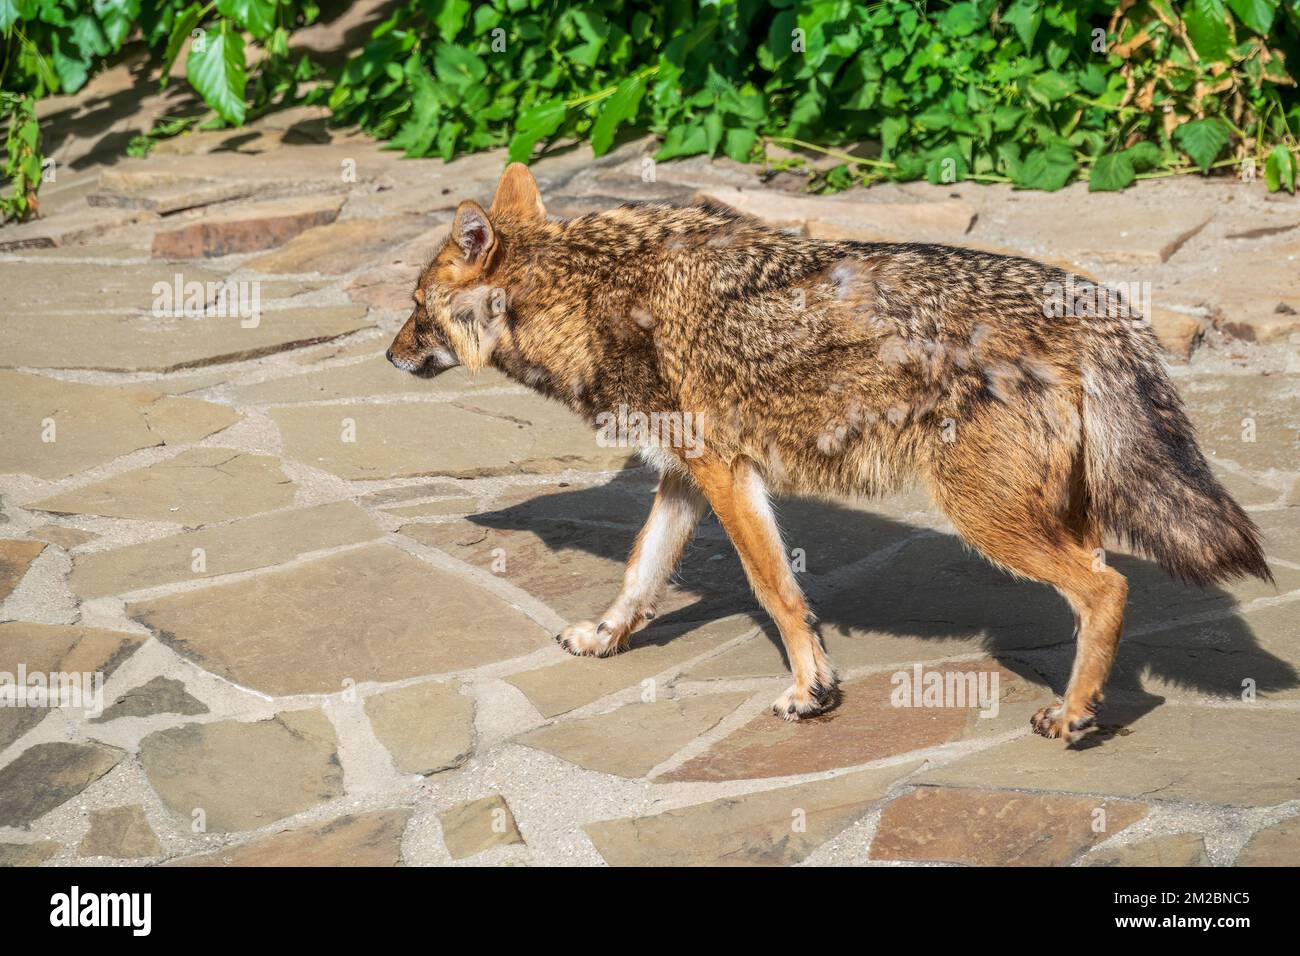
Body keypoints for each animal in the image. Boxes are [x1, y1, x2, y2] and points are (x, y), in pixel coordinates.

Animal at [387, 163, 1271, 742]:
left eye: (416, 309)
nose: (389, 356)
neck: (585, 291)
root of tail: (1097, 304)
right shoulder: (685, 477)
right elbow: (639, 574)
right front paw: (606, 638)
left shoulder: (726, 473)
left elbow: (775, 590)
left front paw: (810, 692)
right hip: (1044, 514)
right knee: (1102, 585)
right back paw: (1093, 703)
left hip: (988, 521)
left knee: (1108, 588)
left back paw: (1074, 714)